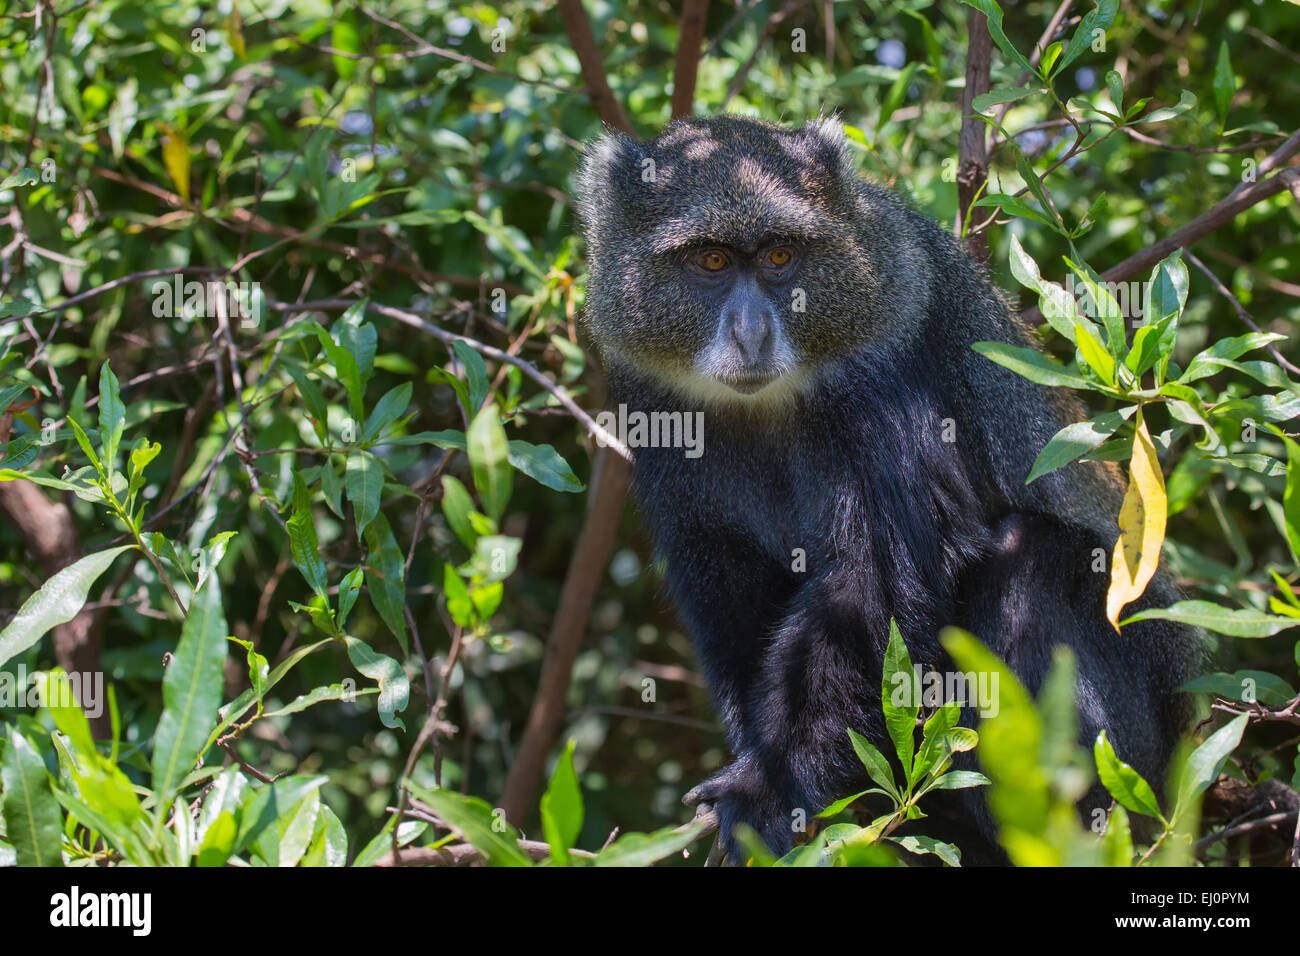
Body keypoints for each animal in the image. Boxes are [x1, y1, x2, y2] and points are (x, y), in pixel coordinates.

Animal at [573, 115, 1203, 864]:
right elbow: (727, 585)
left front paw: (766, 789)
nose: (752, 334)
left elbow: (872, 581)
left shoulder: (880, 381)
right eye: (713, 263)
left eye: (782, 256)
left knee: (1032, 559)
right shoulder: (660, 415)